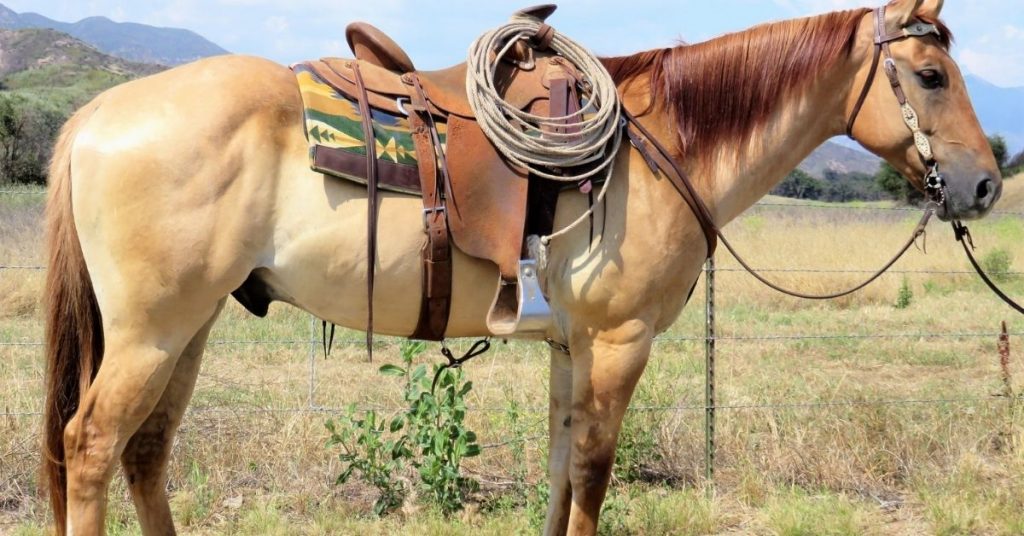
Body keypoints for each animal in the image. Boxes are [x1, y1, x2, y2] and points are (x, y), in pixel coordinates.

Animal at [41, 0, 999, 534]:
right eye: (929, 73)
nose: (985, 182)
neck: (665, 143)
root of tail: (94, 115)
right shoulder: (618, 342)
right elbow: (594, 476)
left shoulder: (571, 347)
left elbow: (559, 468)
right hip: (151, 332)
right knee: (90, 448)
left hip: (189, 326)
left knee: (146, 453)